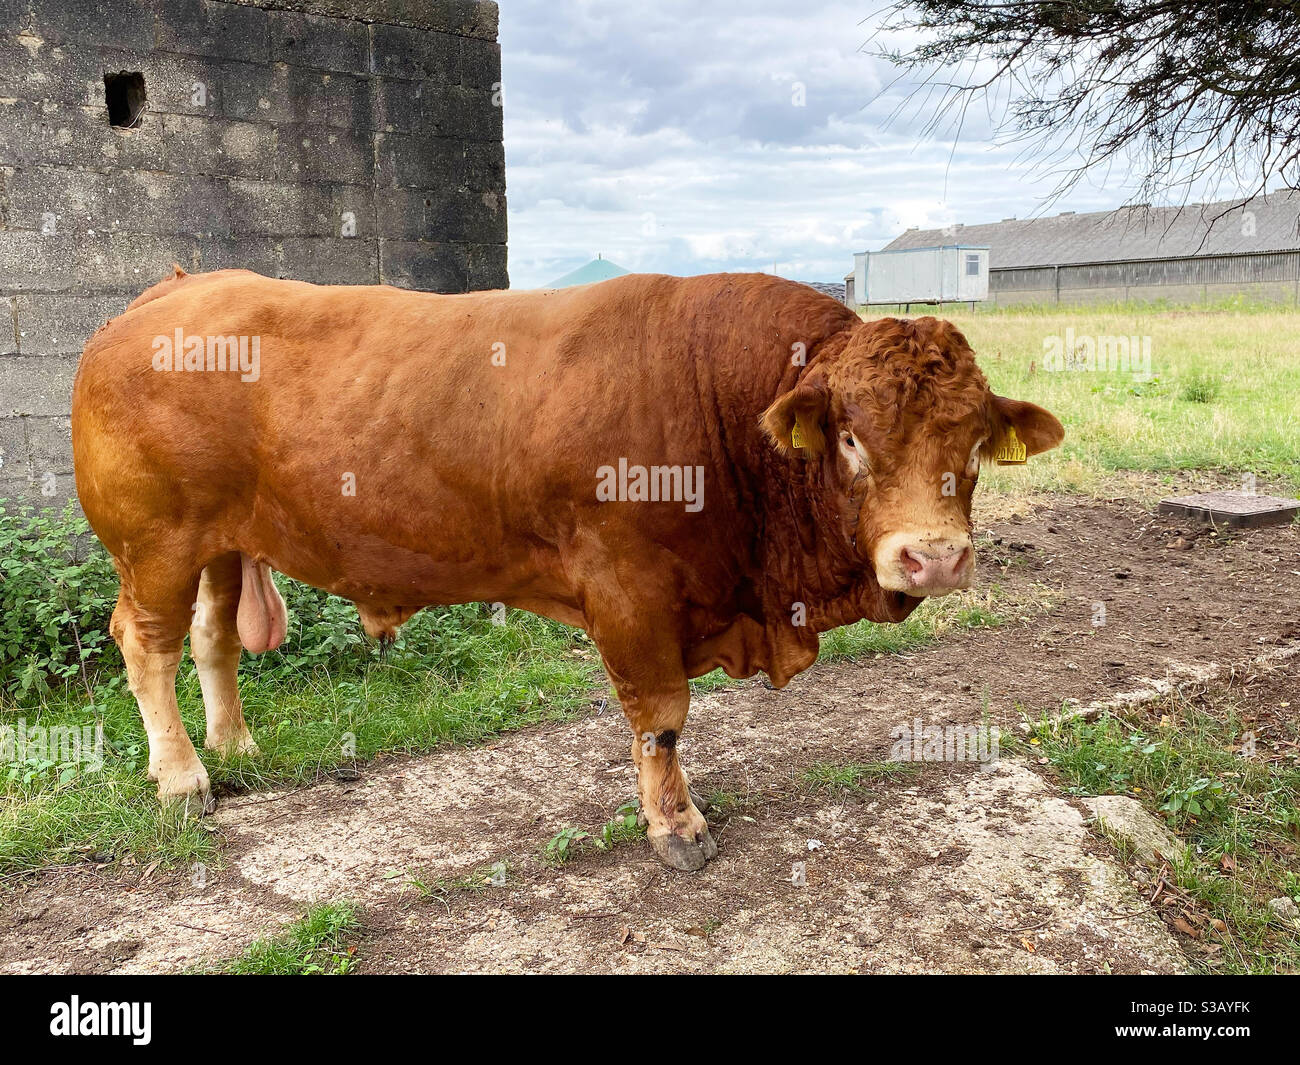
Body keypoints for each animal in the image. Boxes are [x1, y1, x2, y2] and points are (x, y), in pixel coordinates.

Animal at [71, 268, 1063, 871]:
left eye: (975, 441)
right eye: (852, 437)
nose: (933, 555)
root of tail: (173, 286)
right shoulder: (628, 588)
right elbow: (662, 718)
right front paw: (675, 824)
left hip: (220, 546)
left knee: (210, 639)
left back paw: (233, 744)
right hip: (155, 544)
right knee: (146, 645)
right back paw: (183, 778)